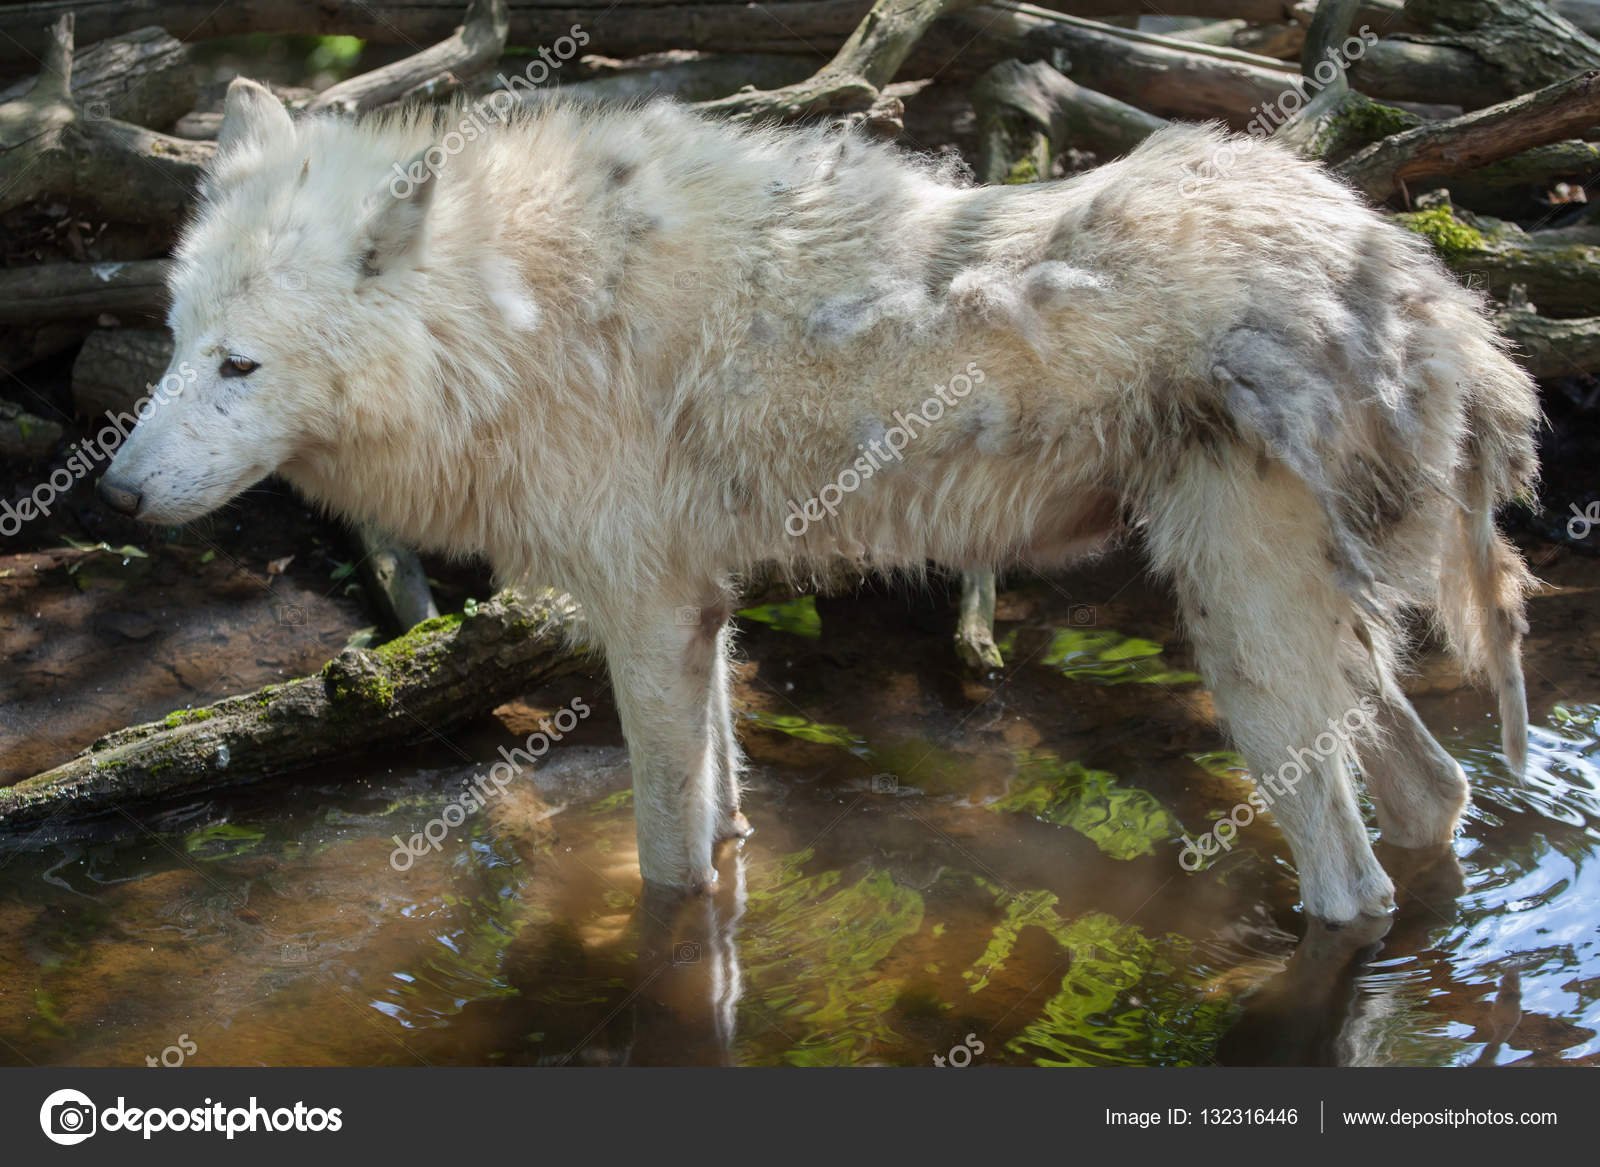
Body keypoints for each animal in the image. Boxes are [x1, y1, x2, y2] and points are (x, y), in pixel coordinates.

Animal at [100, 78, 1539, 924]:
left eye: (240, 366)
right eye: (171, 342)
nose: (109, 488)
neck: (516, 317)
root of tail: (1431, 290)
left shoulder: (645, 613)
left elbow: (671, 862)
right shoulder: (700, 605)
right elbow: (726, 812)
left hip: (1243, 643)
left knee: (1355, 882)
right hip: (1289, 635)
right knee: (1435, 797)